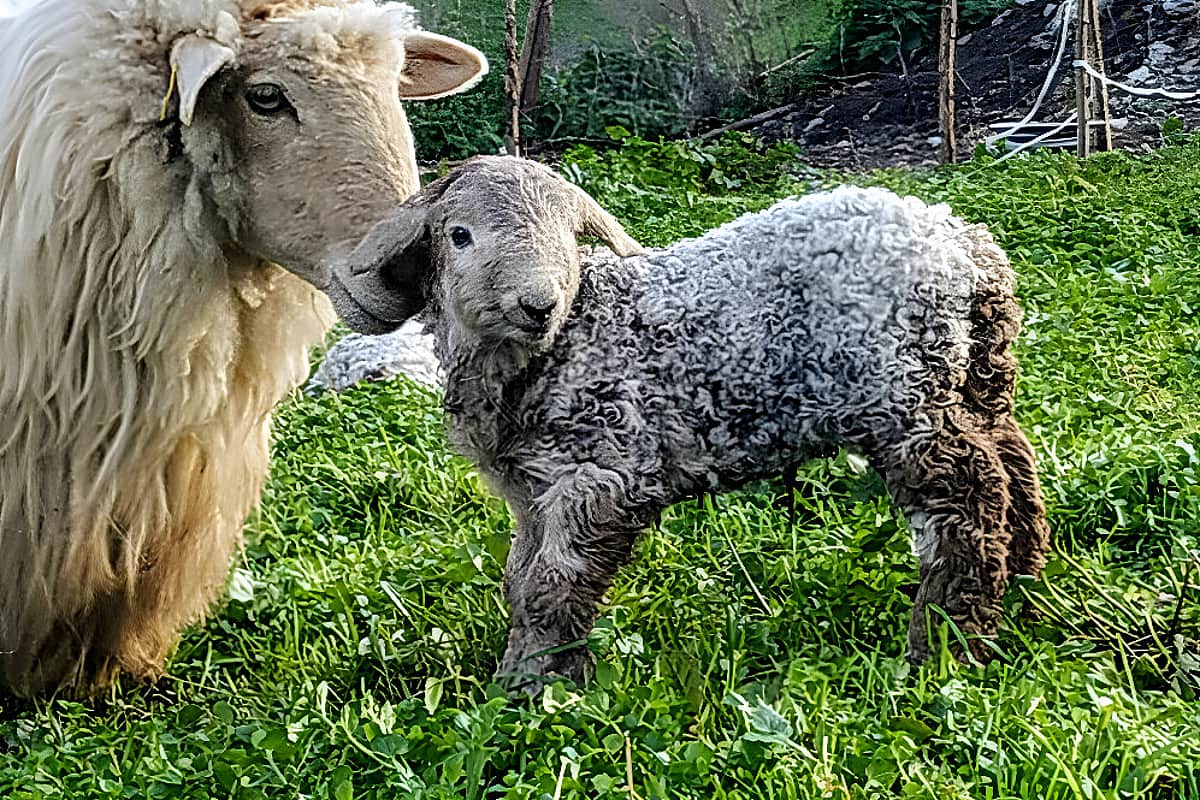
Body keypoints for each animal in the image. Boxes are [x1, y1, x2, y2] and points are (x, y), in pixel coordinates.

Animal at [333, 155, 1051, 685]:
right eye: (459, 235)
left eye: (568, 239)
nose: (538, 304)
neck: (562, 342)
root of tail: (961, 243)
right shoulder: (531, 492)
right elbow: (519, 581)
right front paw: (536, 671)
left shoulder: (602, 470)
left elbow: (550, 587)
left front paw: (535, 686)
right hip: (976, 377)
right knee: (1012, 456)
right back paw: (1022, 577)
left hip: (901, 397)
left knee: (970, 494)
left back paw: (946, 642)